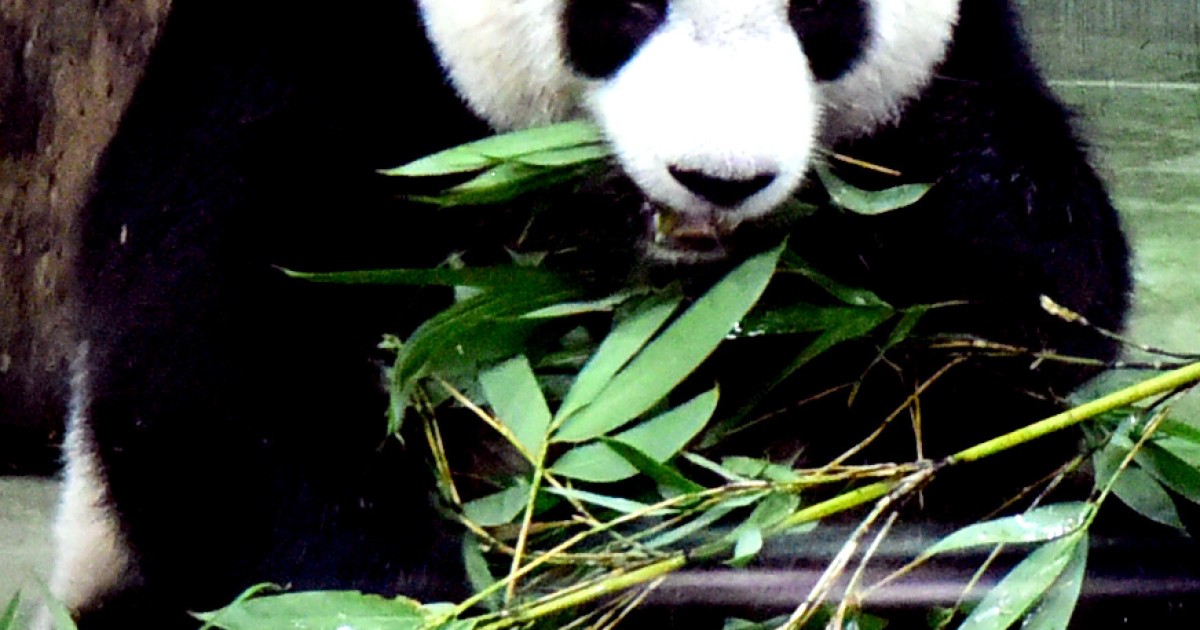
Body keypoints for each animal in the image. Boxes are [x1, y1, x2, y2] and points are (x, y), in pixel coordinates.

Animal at [44, 0, 1131, 627]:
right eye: (629, 3)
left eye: (822, 6)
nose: (721, 178)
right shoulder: (294, 61)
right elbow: (218, 352)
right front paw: (424, 596)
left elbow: (1027, 312)